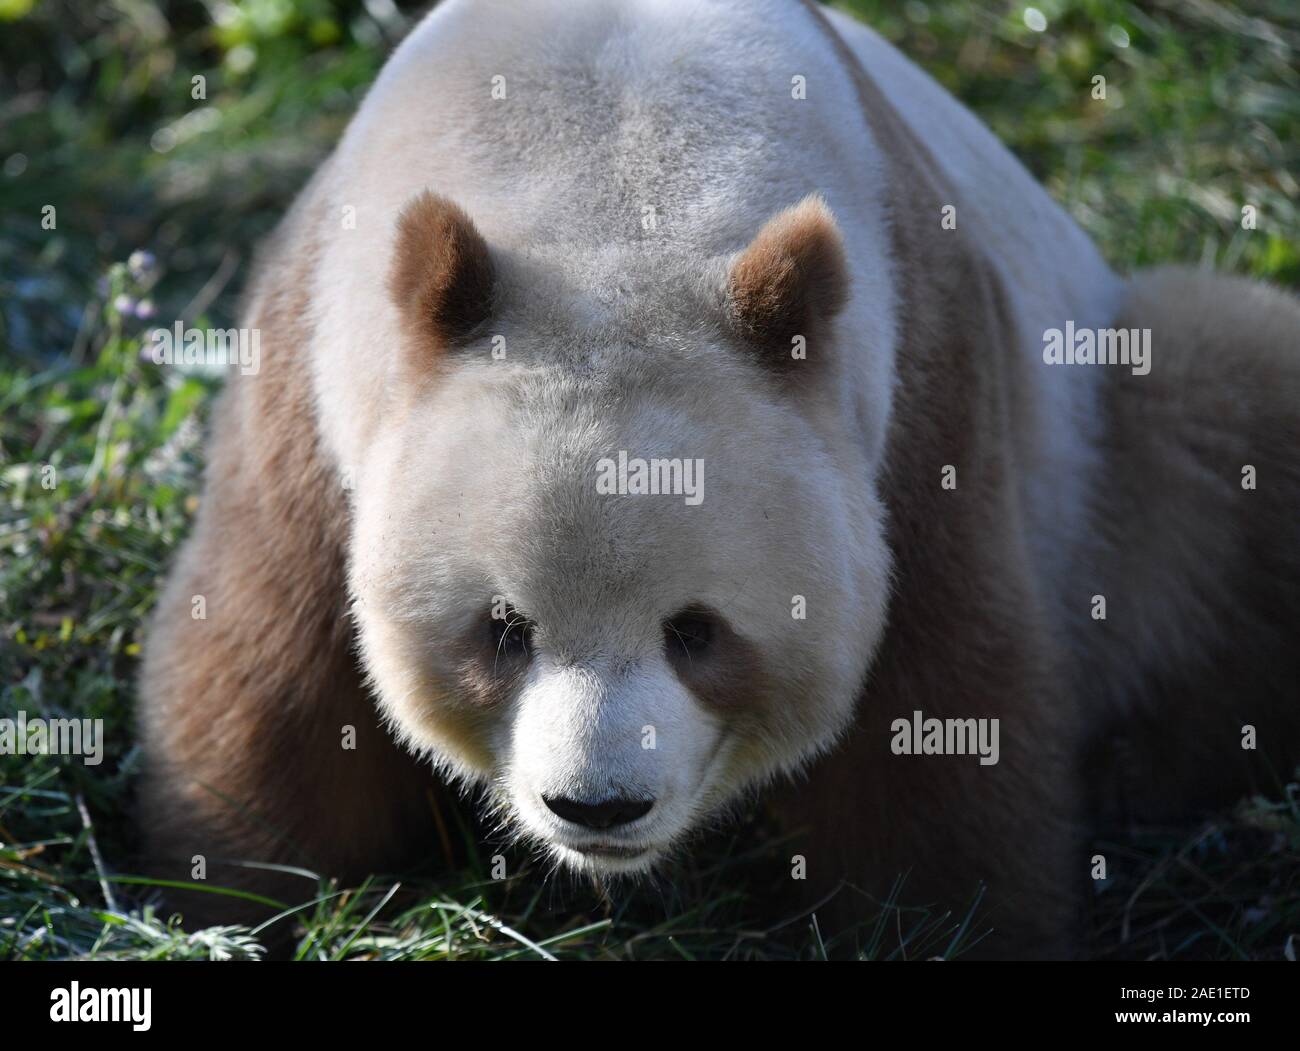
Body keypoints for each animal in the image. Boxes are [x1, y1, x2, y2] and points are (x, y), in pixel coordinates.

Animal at [138, 0, 1300, 958]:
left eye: (695, 629)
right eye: (503, 629)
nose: (598, 807)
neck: (609, 178)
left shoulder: (918, 395)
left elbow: (939, 716)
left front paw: (948, 925)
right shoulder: (314, 383)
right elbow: (272, 681)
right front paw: (227, 903)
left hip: (1108, 439)